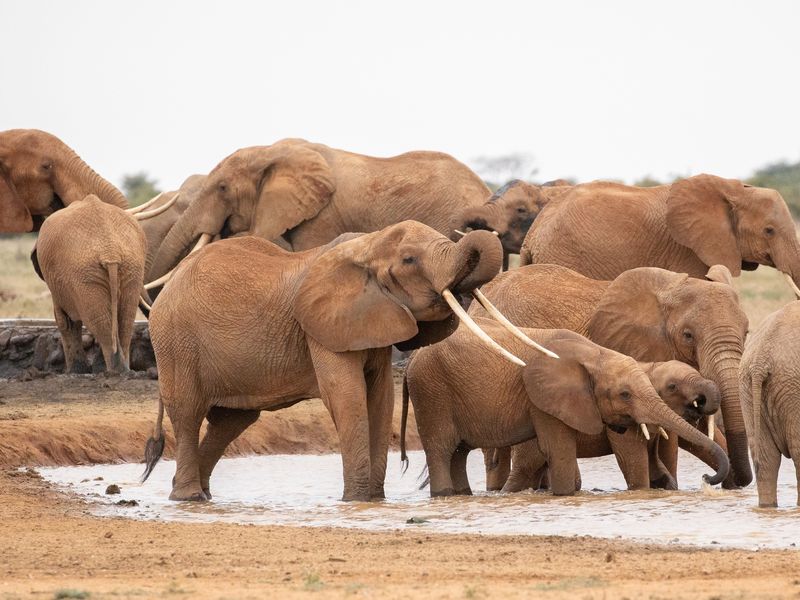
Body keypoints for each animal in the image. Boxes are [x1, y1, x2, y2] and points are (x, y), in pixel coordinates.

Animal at [36, 195, 151, 373]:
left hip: (83, 273)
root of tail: (110, 250)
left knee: (101, 322)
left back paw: (114, 371)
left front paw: (75, 372)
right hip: (131, 266)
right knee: (125, 319)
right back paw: (123, 371)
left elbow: (65, 322)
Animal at [140, 222, 540, 502]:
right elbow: (346, 396)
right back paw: (189, 497)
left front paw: (374, 500)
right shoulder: (322, 328)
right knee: (189, 412)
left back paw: (202, 494)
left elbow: (380, 398)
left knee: (230, 421)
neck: (366, 246)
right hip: (176, 342)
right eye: (409, 260)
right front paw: (356, 500)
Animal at [496, 360, 721, 493]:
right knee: (525, 469)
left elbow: (655, 466)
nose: (705, 477)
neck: (648, 369)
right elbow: (635, 464)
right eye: (672, 386)